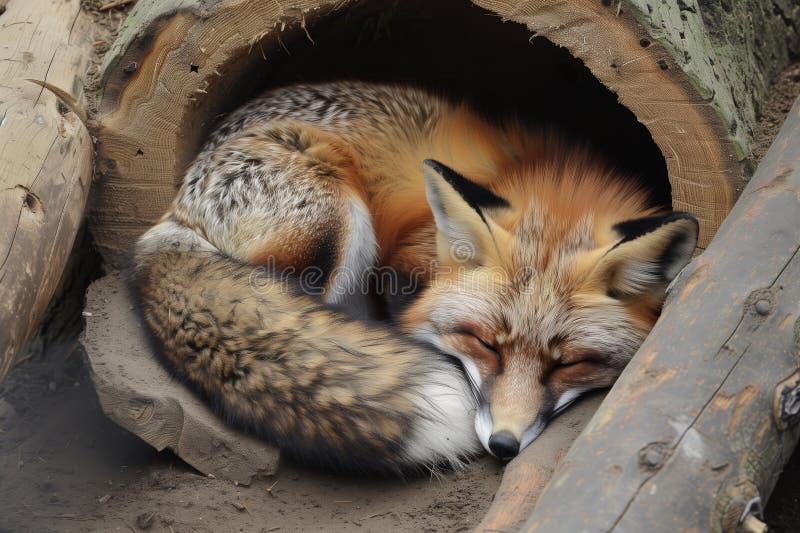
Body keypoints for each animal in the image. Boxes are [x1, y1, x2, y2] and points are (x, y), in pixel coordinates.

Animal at [133, 81, 698, 475]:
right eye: (484, 345)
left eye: (570, 364)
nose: (503, 445)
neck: (553, 191)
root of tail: (172, 215)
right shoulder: (398, 268)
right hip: (336, 218)